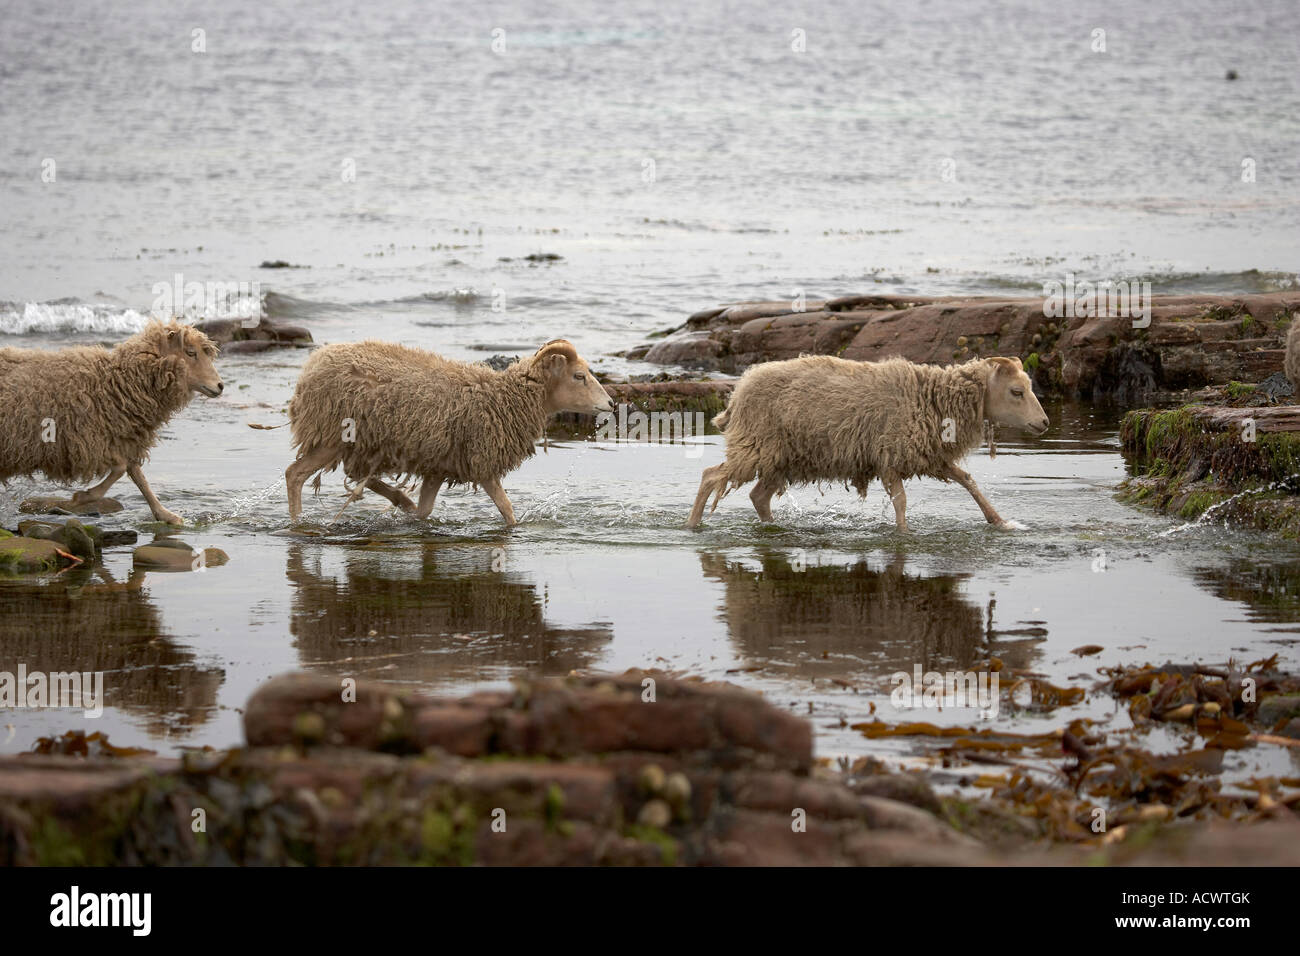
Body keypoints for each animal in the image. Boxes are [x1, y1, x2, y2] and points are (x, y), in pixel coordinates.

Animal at [0, 320, 223, 526]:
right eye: (191, 353)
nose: (220, 386)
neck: (116, 382)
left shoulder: (124, 437)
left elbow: (138, 476)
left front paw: (166, 515)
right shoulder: (89, 440)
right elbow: (121, 469)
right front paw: (81, 497)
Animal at [285, 339, 614, 524]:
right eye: (579, 376)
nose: (611, 403)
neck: (503, 398)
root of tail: (310, 368)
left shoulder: (438, 465)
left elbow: (424, 511)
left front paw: (406, 508)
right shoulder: (482, 463)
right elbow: (507, 509)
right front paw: (516, 528)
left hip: (358, 443)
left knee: (353, 472)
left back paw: (395, 498)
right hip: (331, 434)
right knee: (295, 475)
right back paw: (298, 522)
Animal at [686, 355, 1049, 532]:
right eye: (1017, 391)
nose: (1045, 423)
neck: (933, 398)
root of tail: (738, 391)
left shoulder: (929, 456)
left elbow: (968, 482)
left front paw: (1001, 522)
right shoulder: (891, 457)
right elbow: (901, 502)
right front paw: (904, 533)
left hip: (781, 458)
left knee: (758, 496)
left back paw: (774, 527)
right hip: (755, 444)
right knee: (710, 476)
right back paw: (692, 525)